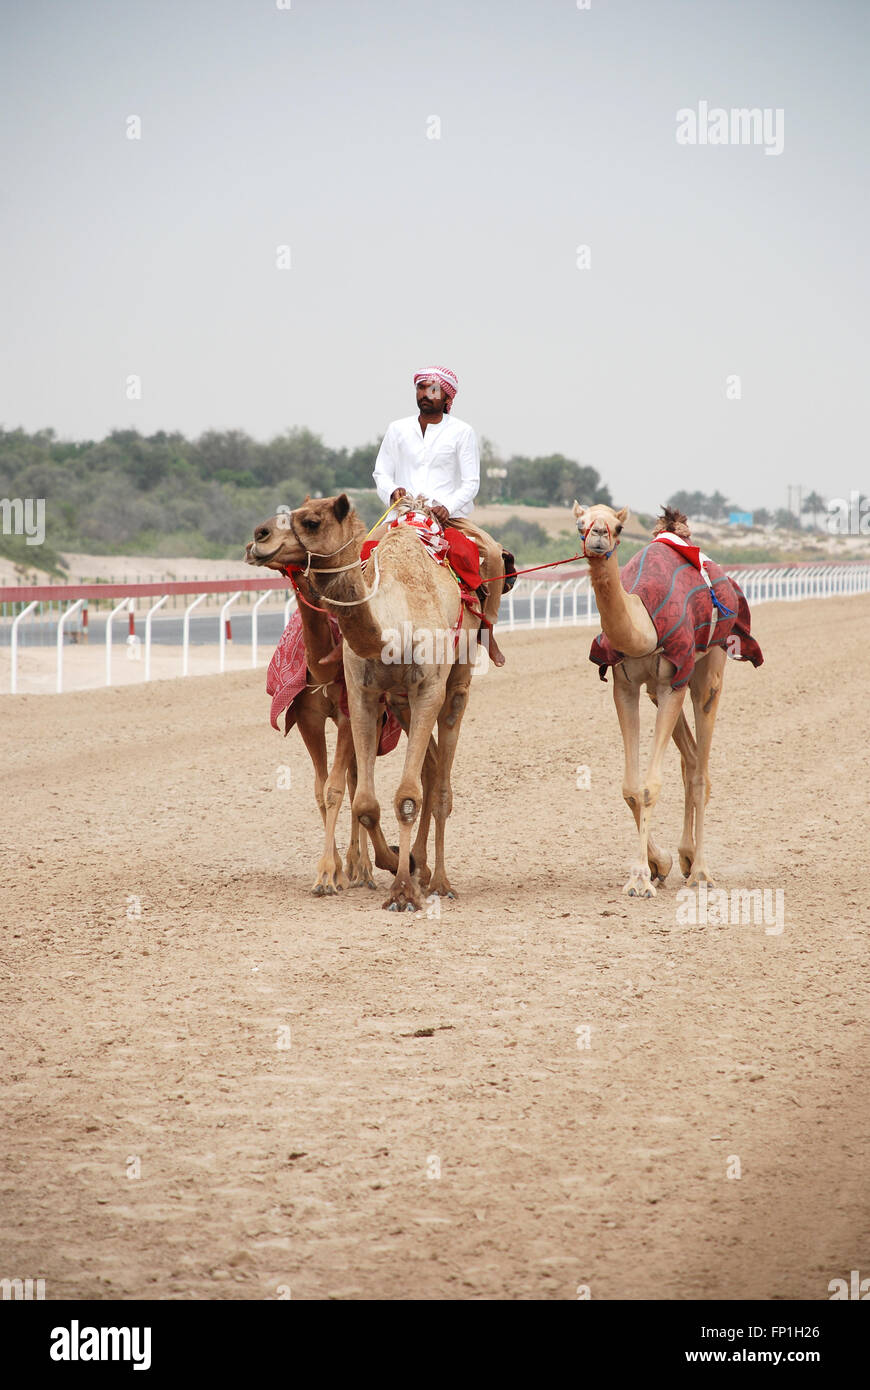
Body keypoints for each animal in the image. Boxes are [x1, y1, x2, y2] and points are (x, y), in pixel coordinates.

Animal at [247, 494, 480, 911]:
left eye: (311, 521)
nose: (258, 536)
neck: (393, 627)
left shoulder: (427, 690)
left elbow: (405, 797)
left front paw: (401, 890)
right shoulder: (360, 695)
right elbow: (363, 801)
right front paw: (387, 866)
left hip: (455, 685)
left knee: (440, 783)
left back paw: (439, 881)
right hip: (399, 704)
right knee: (428, 769)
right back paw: (416, 868)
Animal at [573, 502, 762, 898]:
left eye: (617, 526)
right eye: (581, 524)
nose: (597, 536)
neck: (644, 625)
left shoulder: (672, 682)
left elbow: (649, 786)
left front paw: (640, 881)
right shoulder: (626, 685)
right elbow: (631, 788)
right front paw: (657, 865)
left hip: (707, 668)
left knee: (702, 768)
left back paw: (702, 872)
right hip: (660, 690)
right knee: (689, 758)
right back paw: (686, 857)